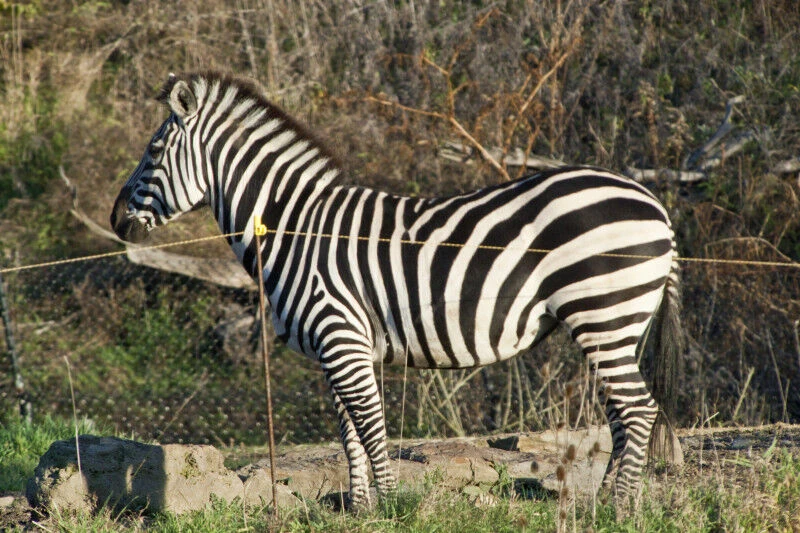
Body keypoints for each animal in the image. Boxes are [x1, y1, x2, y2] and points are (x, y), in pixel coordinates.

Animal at [111, 71, 684, 511]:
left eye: (153, 151)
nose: (115, 221)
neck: (295, 228)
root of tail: (653, 202)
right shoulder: (338, 347)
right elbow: (347, 432)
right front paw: (361, 508)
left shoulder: (341, 335)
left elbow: (369, 424)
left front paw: (389, 504)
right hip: (616, 324)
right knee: (621, 414)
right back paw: (608, 499)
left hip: (603, 313)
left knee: (638, 410)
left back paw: (619, 508)